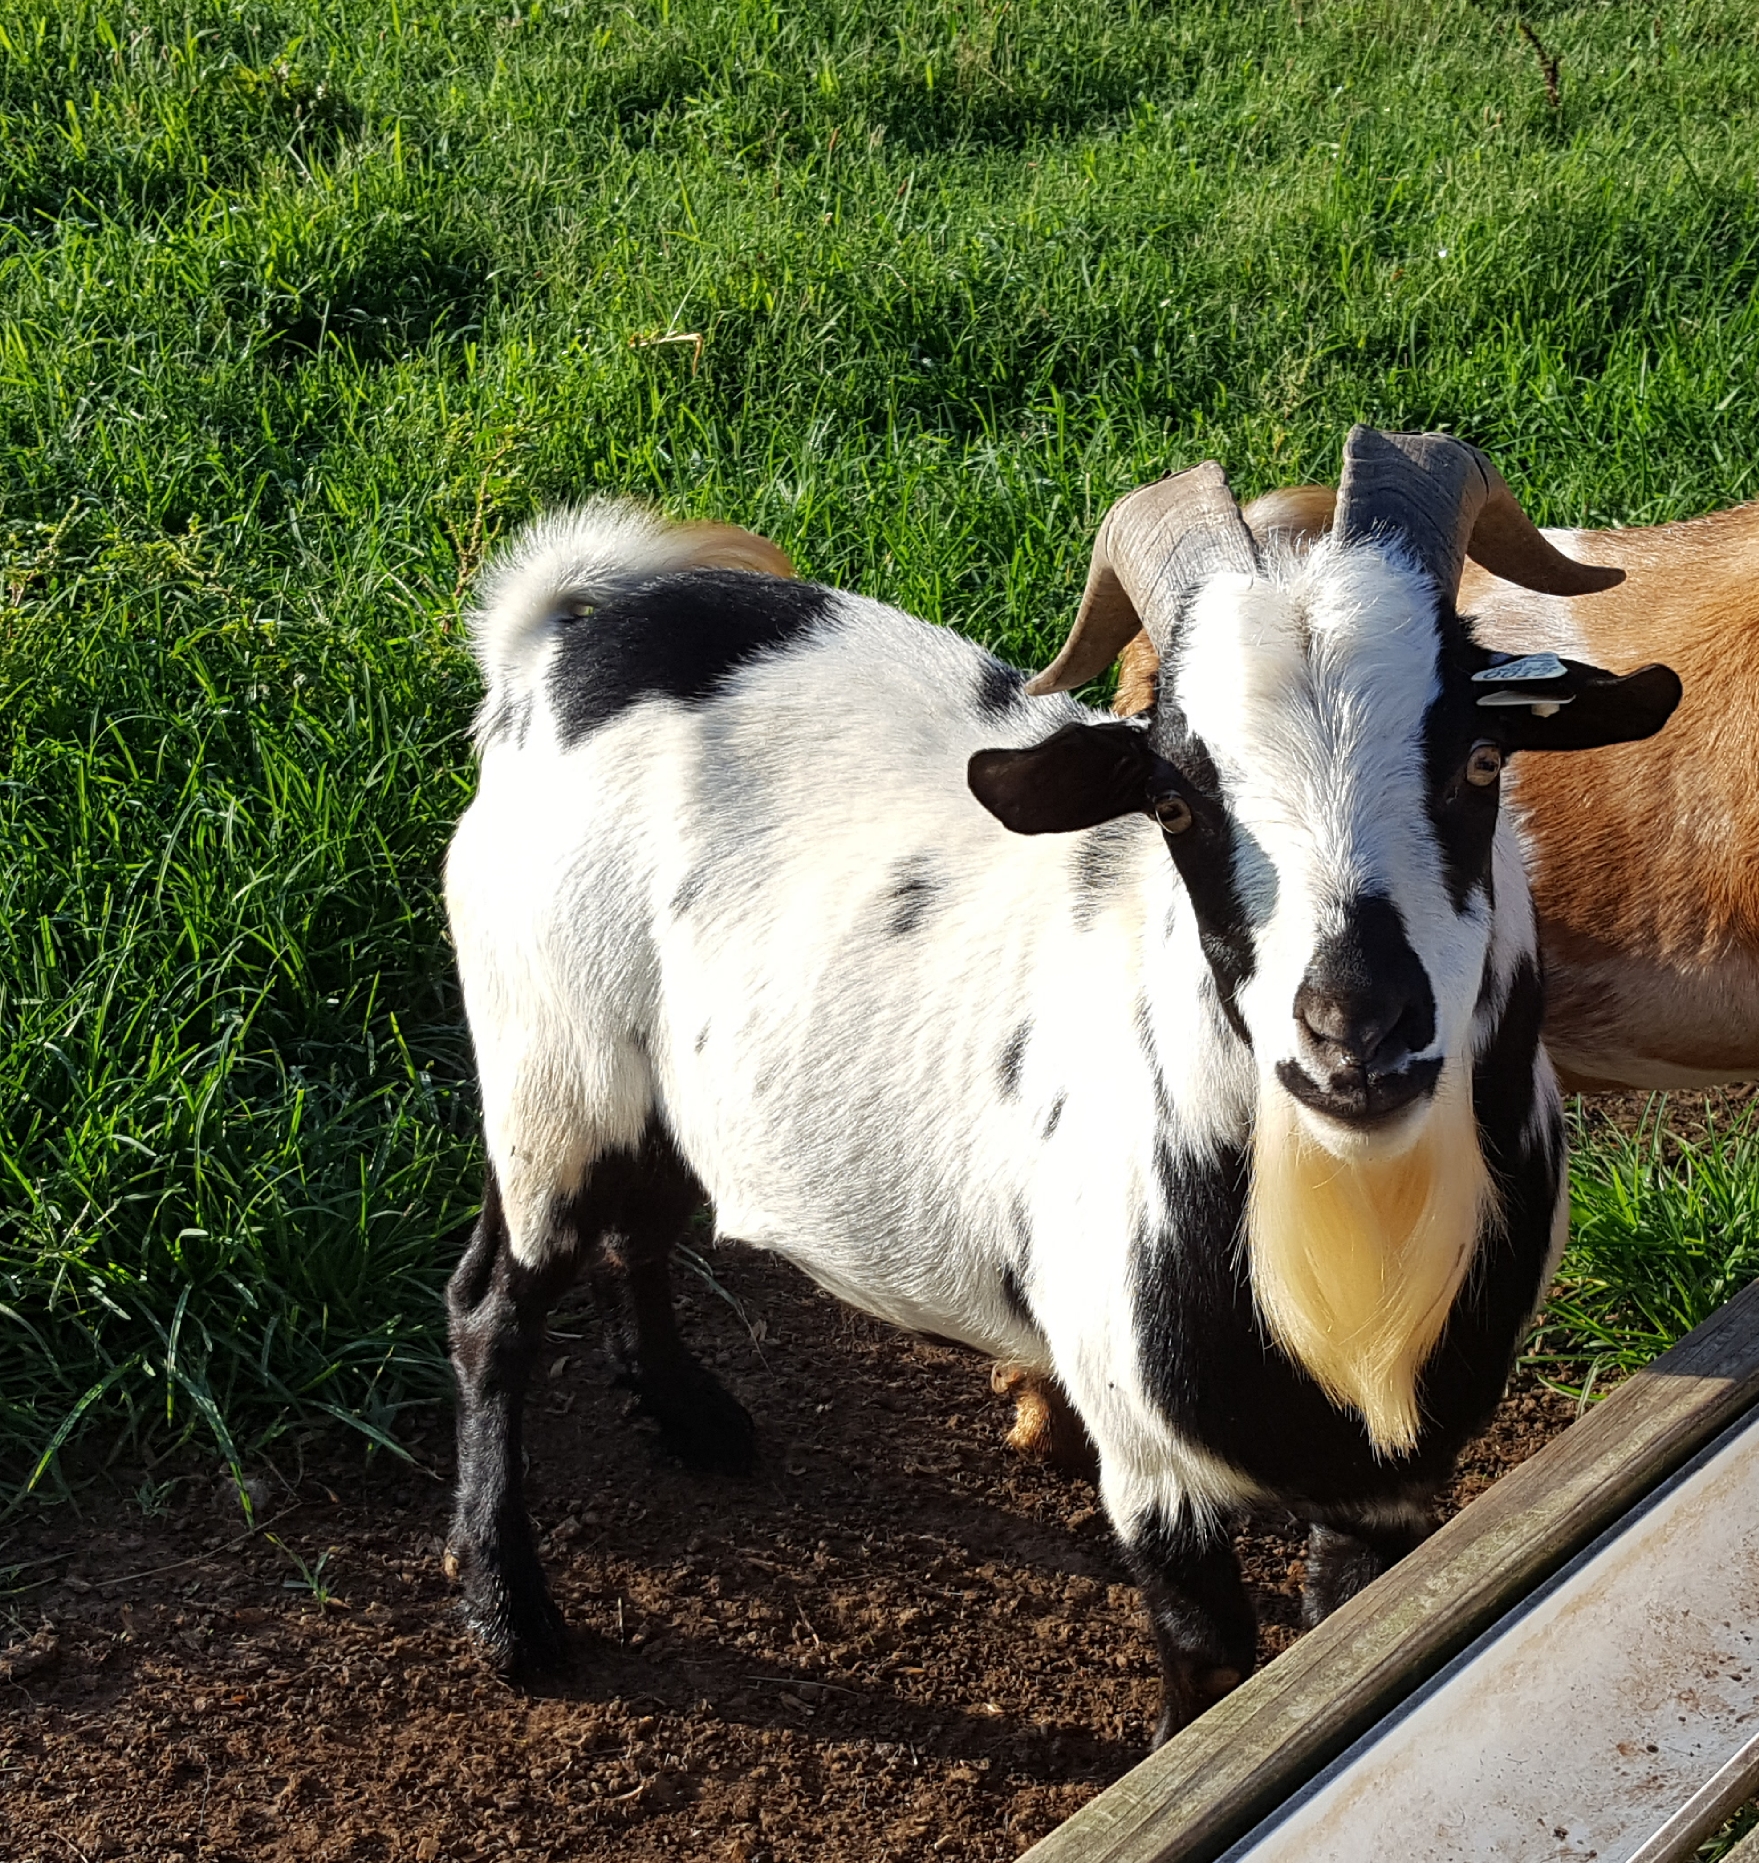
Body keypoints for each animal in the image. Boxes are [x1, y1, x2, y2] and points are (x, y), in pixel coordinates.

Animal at [441, 429, 1679, 1743]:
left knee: (643, 1225)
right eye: (1175, 798)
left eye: (1483, 757)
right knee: (493, 1307)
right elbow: (1208, 1660)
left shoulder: (1391, 1483)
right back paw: (507, 1611)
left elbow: (1337, 1635)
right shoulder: (1144, 1456)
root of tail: (561, 650)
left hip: (659, 1087)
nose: (1355, 1031)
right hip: (546, 1064)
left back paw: (692, 1418)